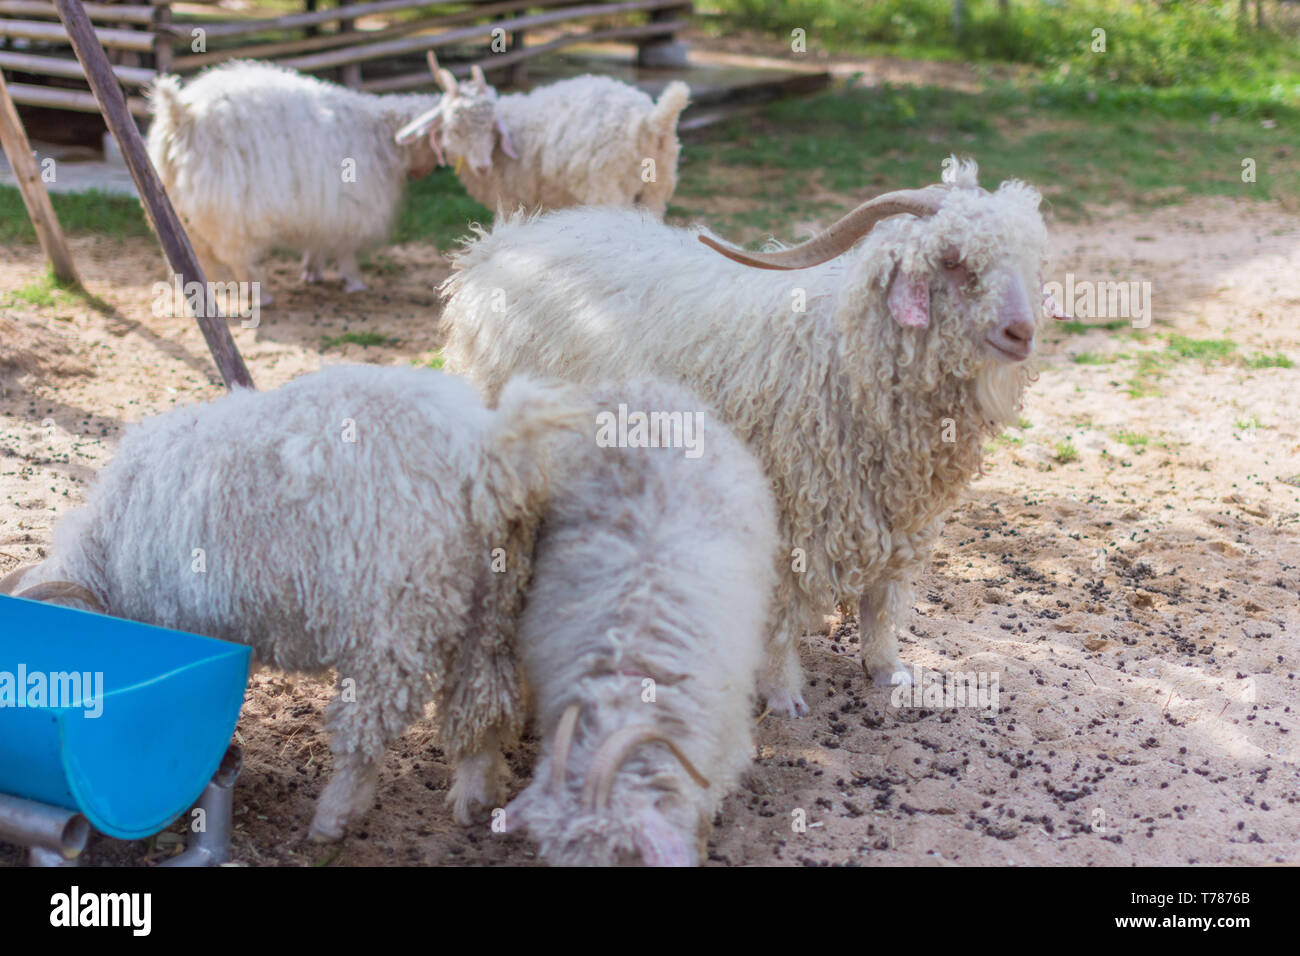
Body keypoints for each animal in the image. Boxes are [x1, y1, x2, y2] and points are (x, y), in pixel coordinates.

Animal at [1, 365, 590, 841]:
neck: (105, 551)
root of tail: (488, 451)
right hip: (493, 609)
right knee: (482, 707)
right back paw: (474, 799)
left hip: (390, 623)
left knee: (371, 726)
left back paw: (334, 817)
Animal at [145, 60, 475, 300]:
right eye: (451, 130)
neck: (383, 136)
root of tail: (181, 115)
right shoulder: (350, 208)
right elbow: (345, 250)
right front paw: (354, 281)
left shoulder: (322, 207)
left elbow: (317, 243)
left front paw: (312, 272)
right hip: (229, 215)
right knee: (237, 257)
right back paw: (260, 294)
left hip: (180, 214)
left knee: (196, 257)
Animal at [397, 57, 689, 219]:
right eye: (454, 127)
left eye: (490, 127)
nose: (482, 167)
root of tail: (651, 120)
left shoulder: (511, 200)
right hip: (656, 189)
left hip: (608, 189)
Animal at [440, 160, 1054, 717]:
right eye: (951, 259)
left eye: (1028, 260)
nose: (1021, 333)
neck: (843, 354)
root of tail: (494, 245)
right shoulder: (791, 511)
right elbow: (782, 610)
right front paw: (783, 696)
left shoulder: (898, 517)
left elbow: (881, 599)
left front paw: (887, 670)